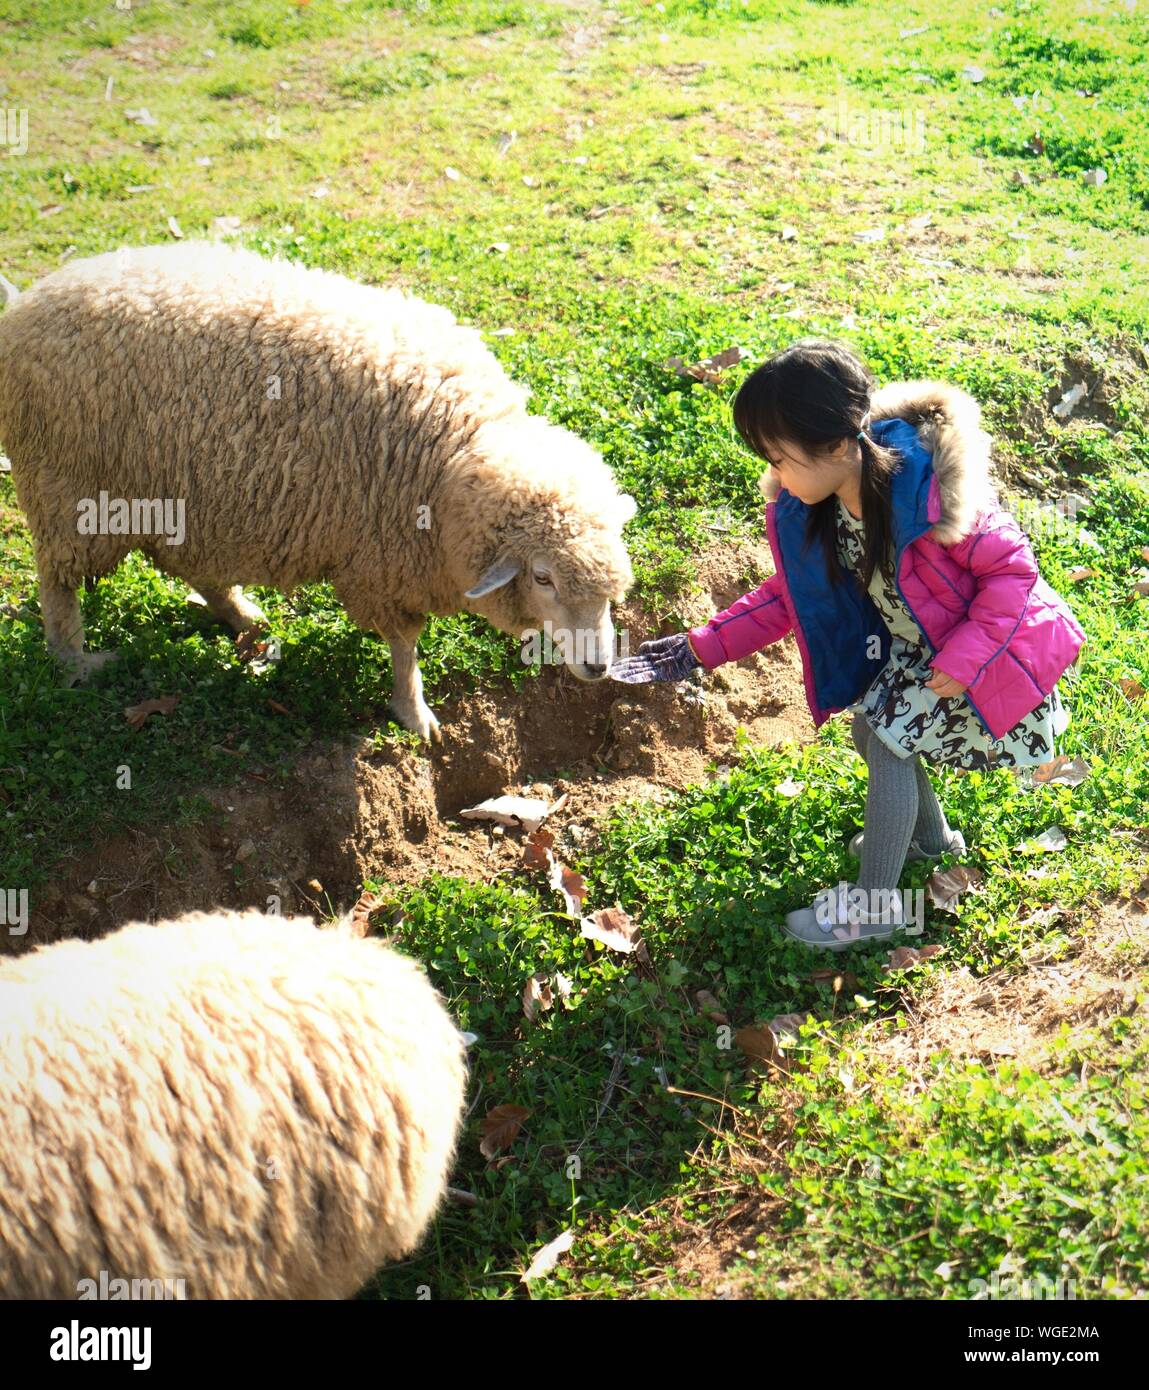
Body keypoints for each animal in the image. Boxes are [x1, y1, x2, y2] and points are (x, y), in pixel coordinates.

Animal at [0, 242, 636, 739]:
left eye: (611, 591)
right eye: (543, 578)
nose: (600, 668)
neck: (457, 448)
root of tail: (27, 301)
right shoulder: (381, 564)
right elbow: (404, 644)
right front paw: (413, 710)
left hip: (185, 502)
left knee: (191, 566)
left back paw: (242, 617)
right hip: (68, 489)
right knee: (57, 582)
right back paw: (75, 661)